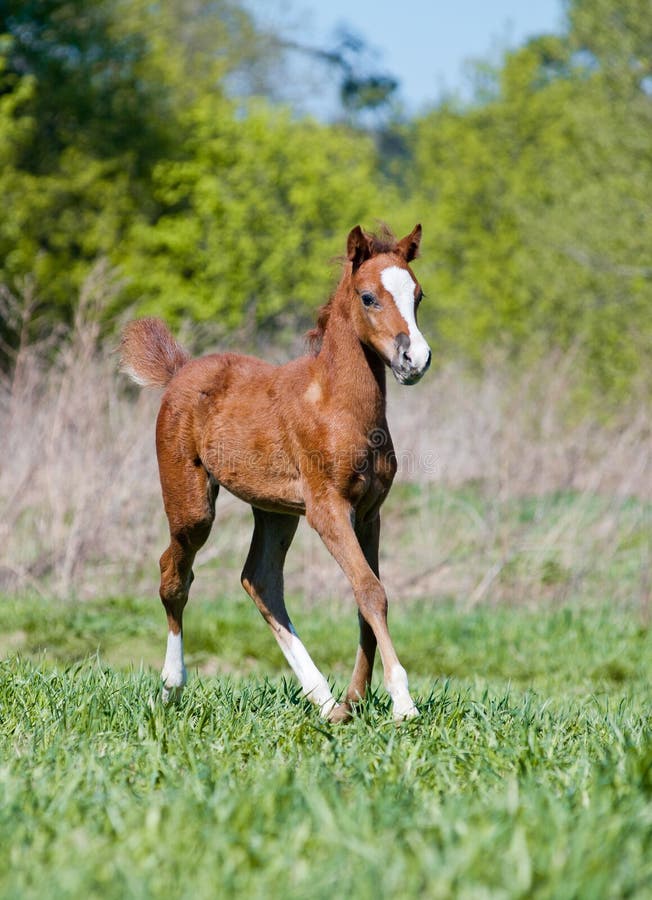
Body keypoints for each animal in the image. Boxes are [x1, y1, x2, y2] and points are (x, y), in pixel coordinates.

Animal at [120, 223, 431, 722]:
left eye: (418, 295)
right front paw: (402, 701)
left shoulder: (369, 513)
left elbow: (366, 596)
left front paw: (353, 700)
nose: (415, 360)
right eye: (368, 297)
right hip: (192, 505)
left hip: (275, 510)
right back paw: (171, 686)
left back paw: (323, 699)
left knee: (260, 581)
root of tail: (179, 371)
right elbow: (370, 590)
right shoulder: (328, 510)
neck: (338, 404)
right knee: (175, 574)